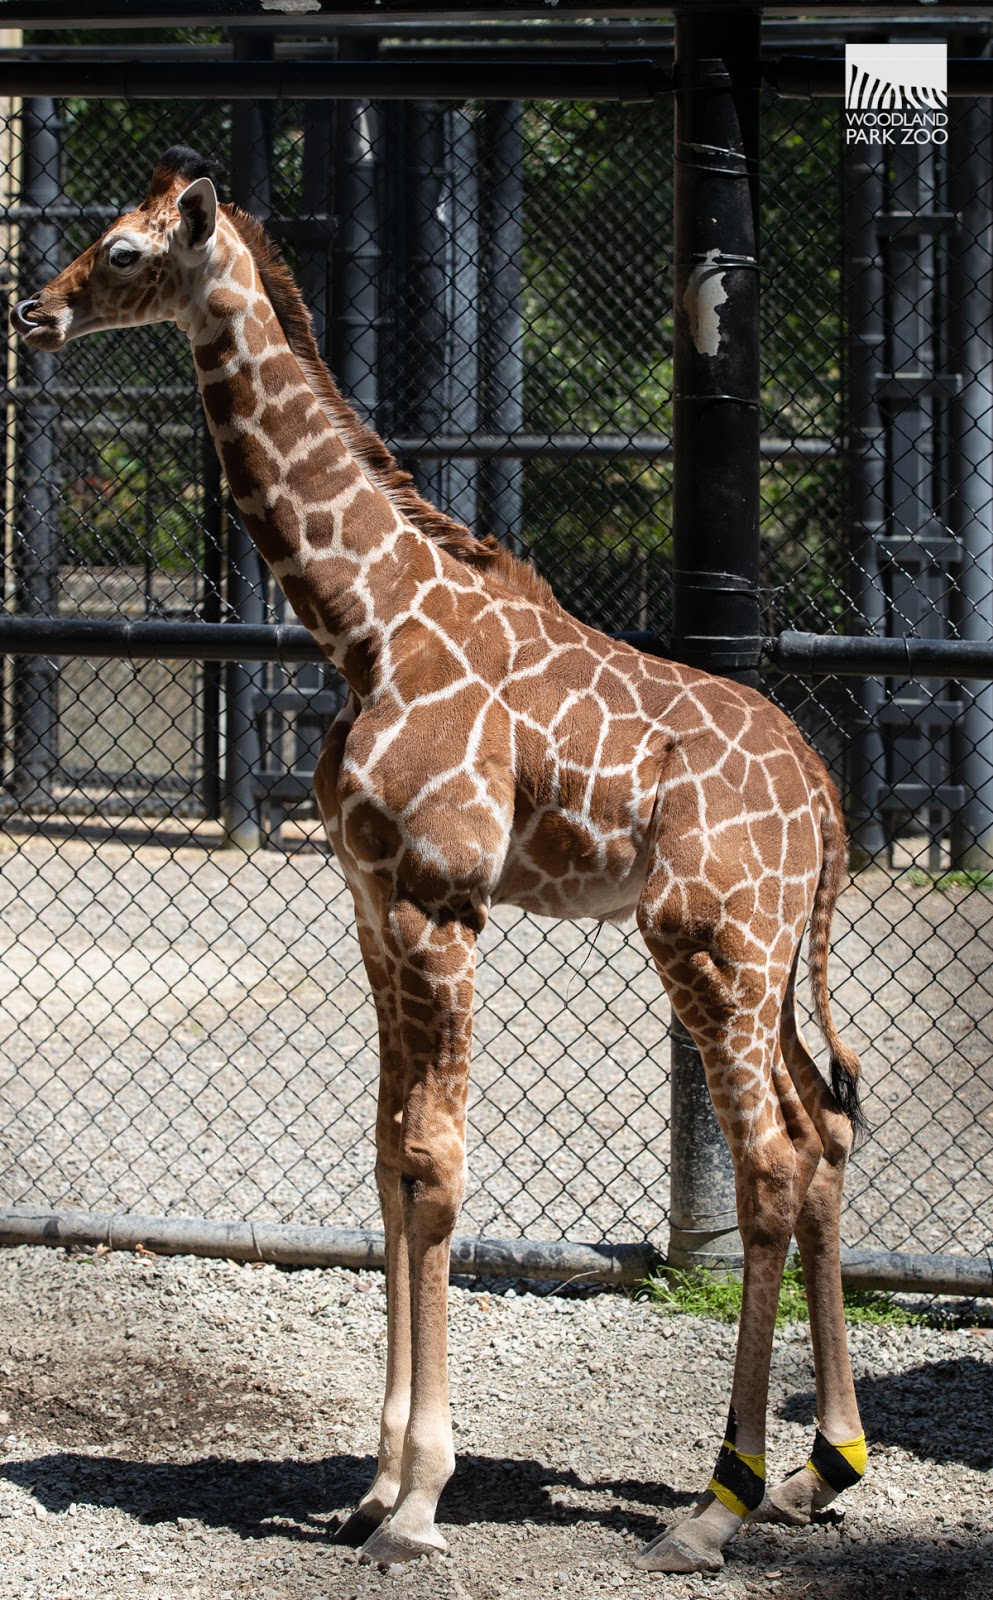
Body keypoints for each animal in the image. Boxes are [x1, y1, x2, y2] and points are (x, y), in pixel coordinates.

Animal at [10, 146, 868, 1575]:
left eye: (125, 252)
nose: (34, 312)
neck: (362, 621)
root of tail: (823, 792)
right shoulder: (371, 903)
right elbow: (386, 1159)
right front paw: (371, 1484)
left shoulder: (443, 902)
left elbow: (438, 1165)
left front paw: (418, 1501)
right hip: (758, 949)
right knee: (826, 1129)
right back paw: (824, 1468)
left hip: (710, 940)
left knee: (773, 1161)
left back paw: (719, 1501)